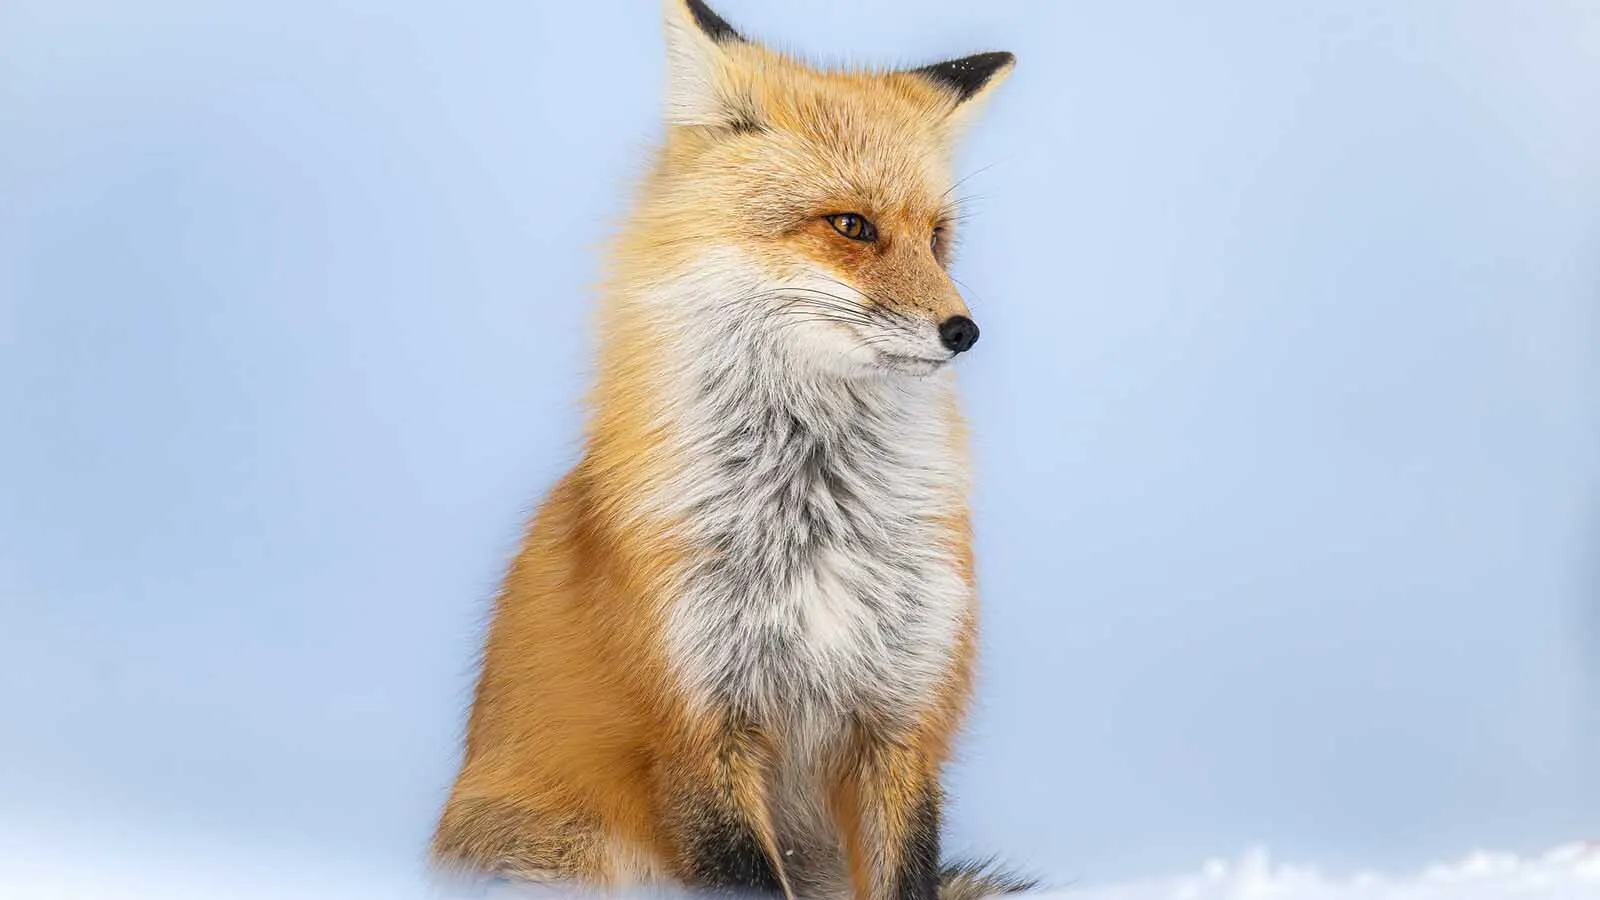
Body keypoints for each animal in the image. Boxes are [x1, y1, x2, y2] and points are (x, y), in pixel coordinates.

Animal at [431, 2, 1025, 899]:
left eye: (938, 239)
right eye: (851, 226)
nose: (964, 330)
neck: (814, 515)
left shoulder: (901, 716)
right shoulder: (694, 726)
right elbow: (742, 873)